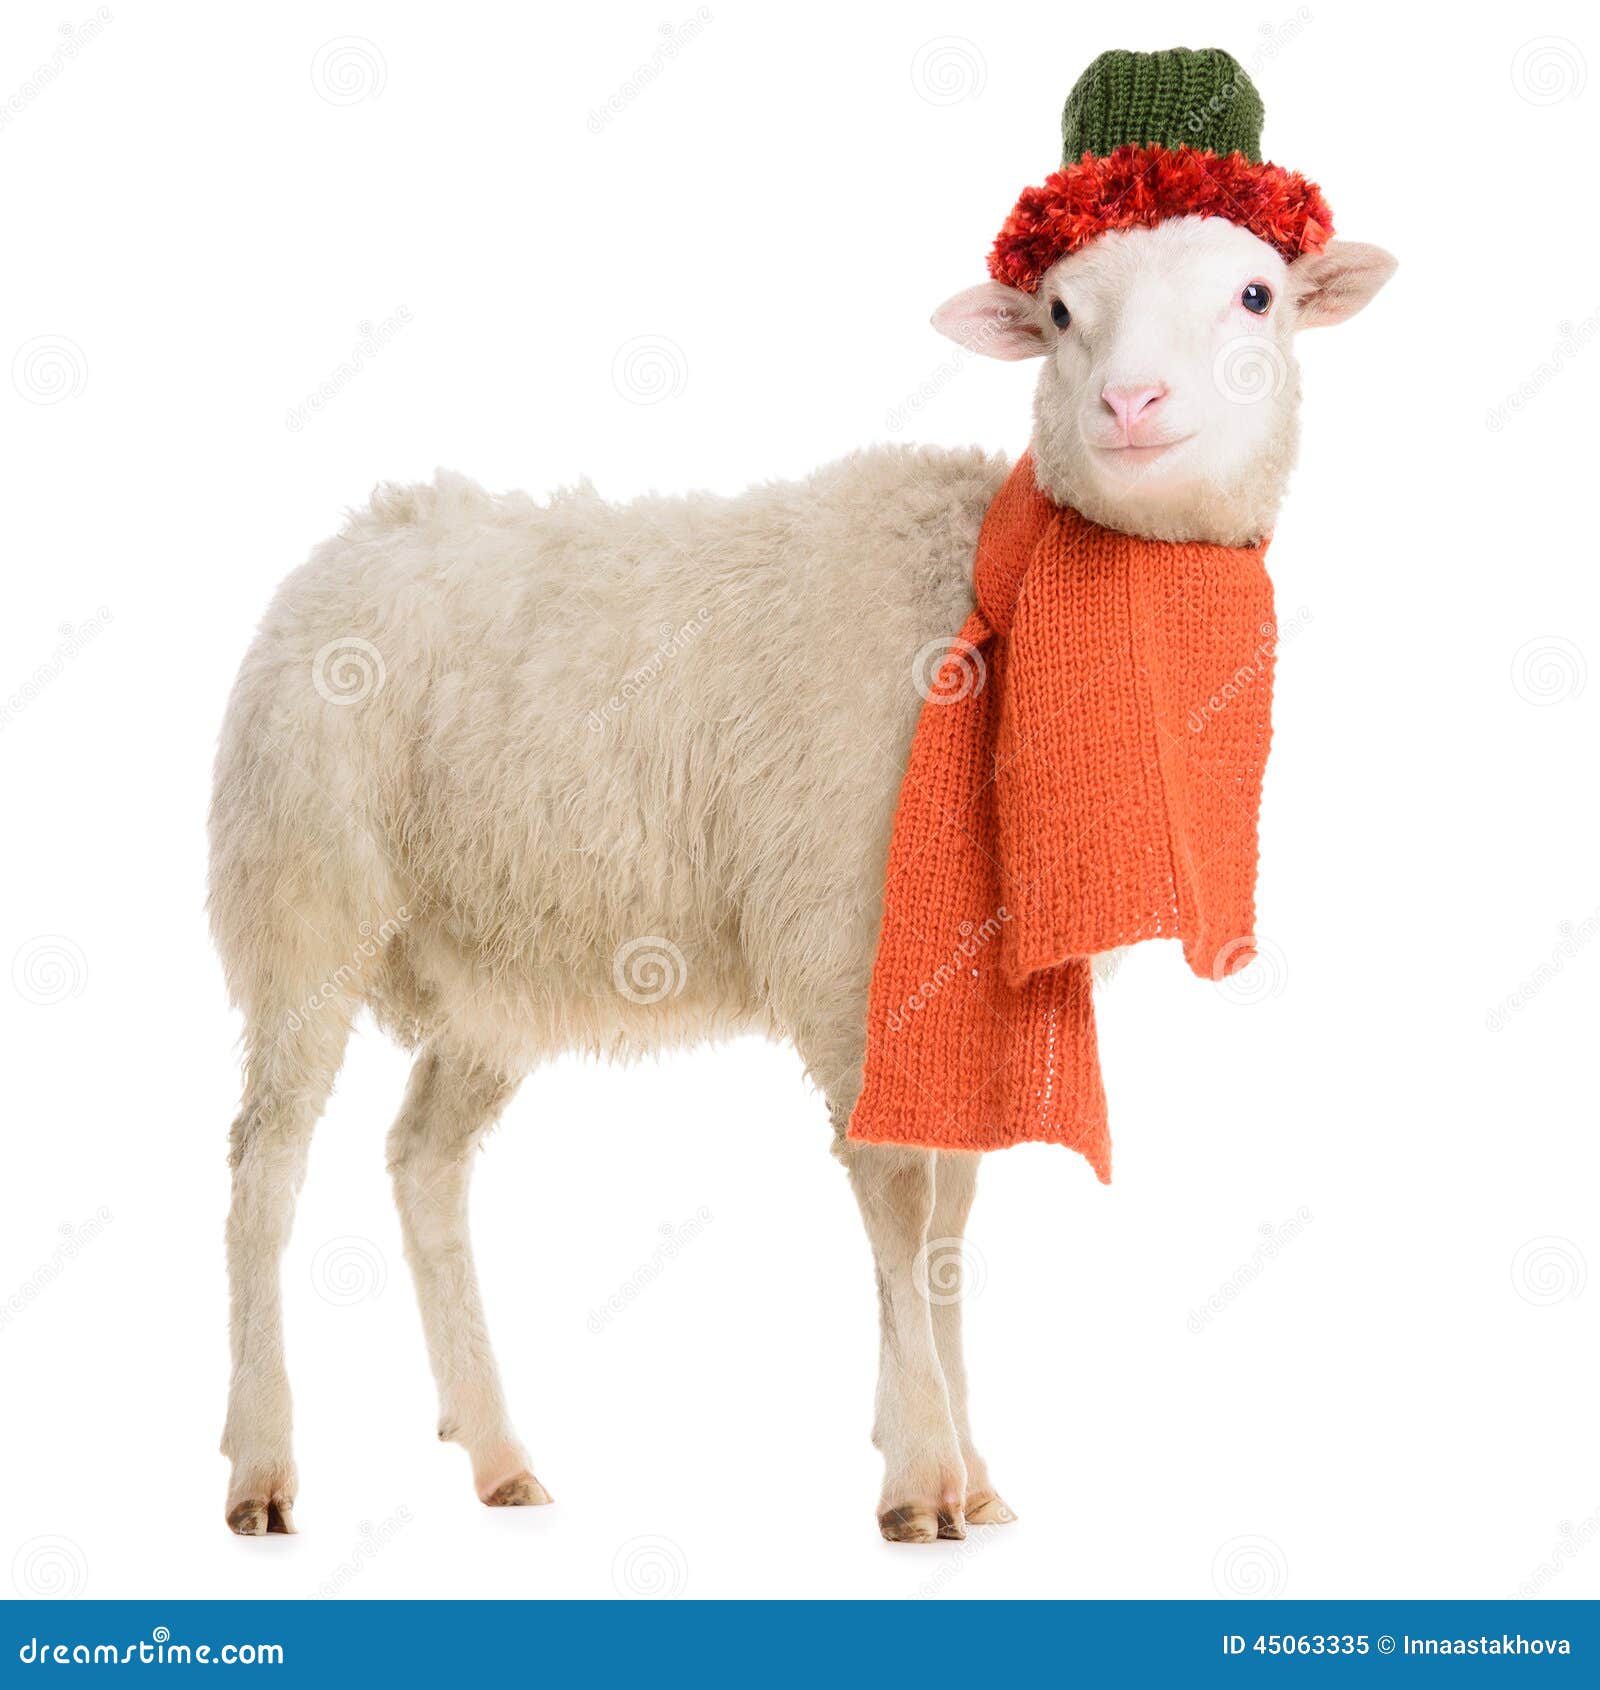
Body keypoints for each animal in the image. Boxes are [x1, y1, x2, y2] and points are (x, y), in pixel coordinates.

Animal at [210, 215, 1395, 1543]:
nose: (1131, 404)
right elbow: (898, 1201)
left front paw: (972, 1470)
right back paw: (262, 1463)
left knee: (422, 1160)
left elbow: (951, 1218)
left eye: (1255, 296)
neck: (993, 591)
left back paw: (497, 1453)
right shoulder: (846, 952)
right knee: (265, 1165)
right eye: (1057, 310)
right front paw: (920, 1476)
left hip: (494, 964)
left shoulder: (966, 989)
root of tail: (355, 532)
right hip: (303, 893)